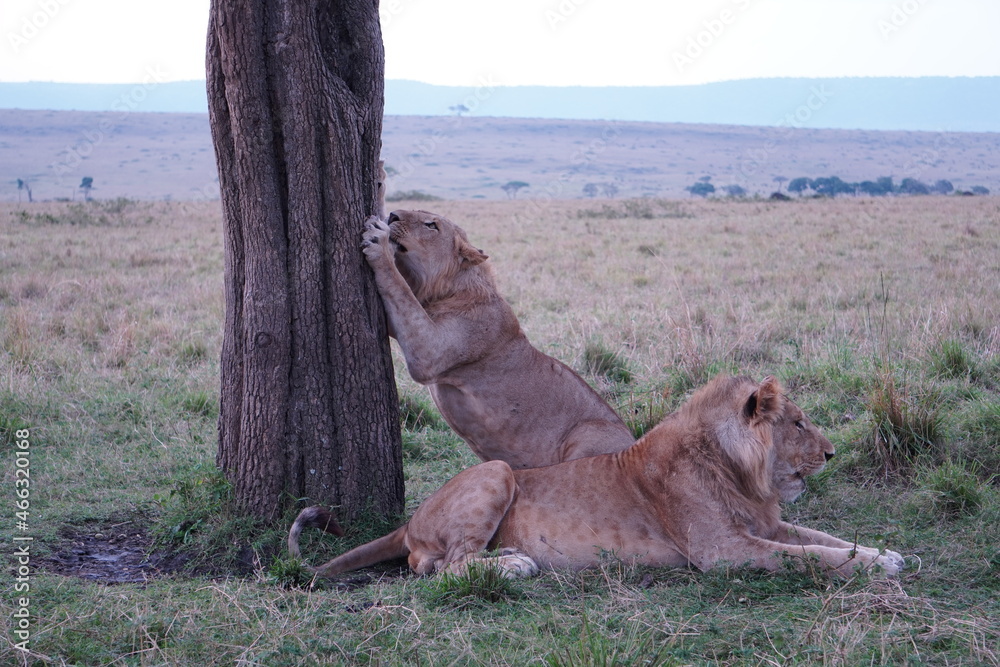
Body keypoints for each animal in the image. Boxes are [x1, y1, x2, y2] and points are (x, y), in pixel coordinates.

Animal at [289, 375, 904, 579]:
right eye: (797, 423)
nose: (831, 453)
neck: (740, 474)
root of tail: (410, 520)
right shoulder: (724, 551)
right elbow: (814, 556)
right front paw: (882, 567)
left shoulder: (764, 526)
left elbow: (826, 540)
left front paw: (888, 553)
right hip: (495, 472)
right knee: (444, 567)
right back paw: (514, 566)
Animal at [360, 210, 634, 468]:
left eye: (431, 225)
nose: (393, 214)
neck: (442, 290)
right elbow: (400, 293)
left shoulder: (430, 353)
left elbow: (399, 287)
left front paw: (379, 242)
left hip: (589, 433)